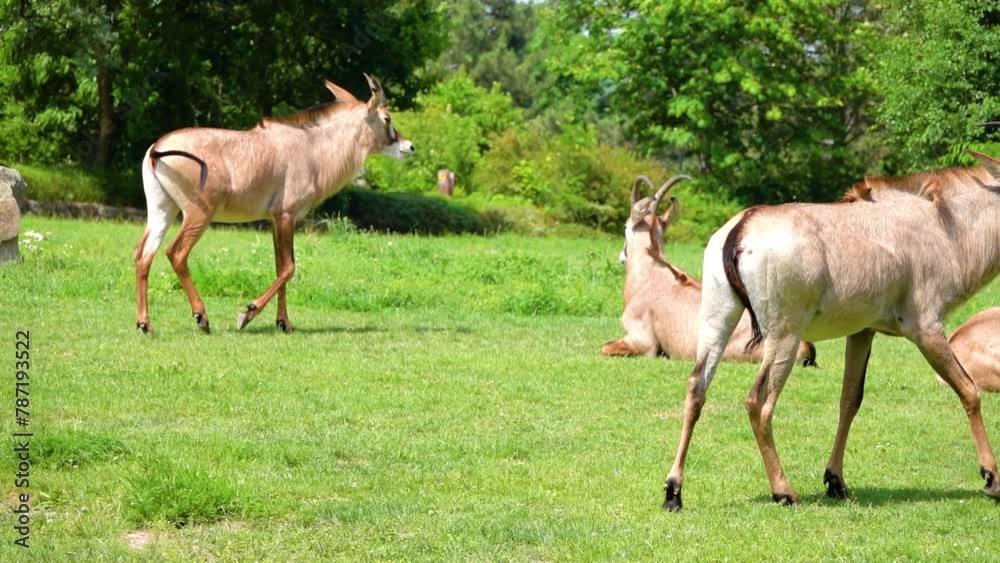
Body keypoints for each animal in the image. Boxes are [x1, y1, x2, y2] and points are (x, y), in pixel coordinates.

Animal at [134, 74, 413, 334]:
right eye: (387, 118)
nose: (409, 146)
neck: (311, 148)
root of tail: (158, 148)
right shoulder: (288, 215)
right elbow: (289, 267)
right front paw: (247, 314)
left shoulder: (275, 218)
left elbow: (280, 266)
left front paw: (284, 322)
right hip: (198, 214)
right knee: (176, 253)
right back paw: (201, 317)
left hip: (162, 211)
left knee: (143, 254)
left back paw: (145, 324)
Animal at [601, 175, 817, 365]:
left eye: (626, 226)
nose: (622, 256)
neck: (650, 269)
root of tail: (804, 344)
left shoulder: (643, 343)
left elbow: (604, 347)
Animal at [661, 152, 1000, 511]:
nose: (990, 478)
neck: (944, 227)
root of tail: (742, 228)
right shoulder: (927, 328)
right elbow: (969, 390)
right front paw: (991, 478)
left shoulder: (863, 331)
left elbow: (850, 399)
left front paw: (835, 480)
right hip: (784, 335)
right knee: (758, 401)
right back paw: (783, 491)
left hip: (717, 319)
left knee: (696, 387)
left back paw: (673, 491)